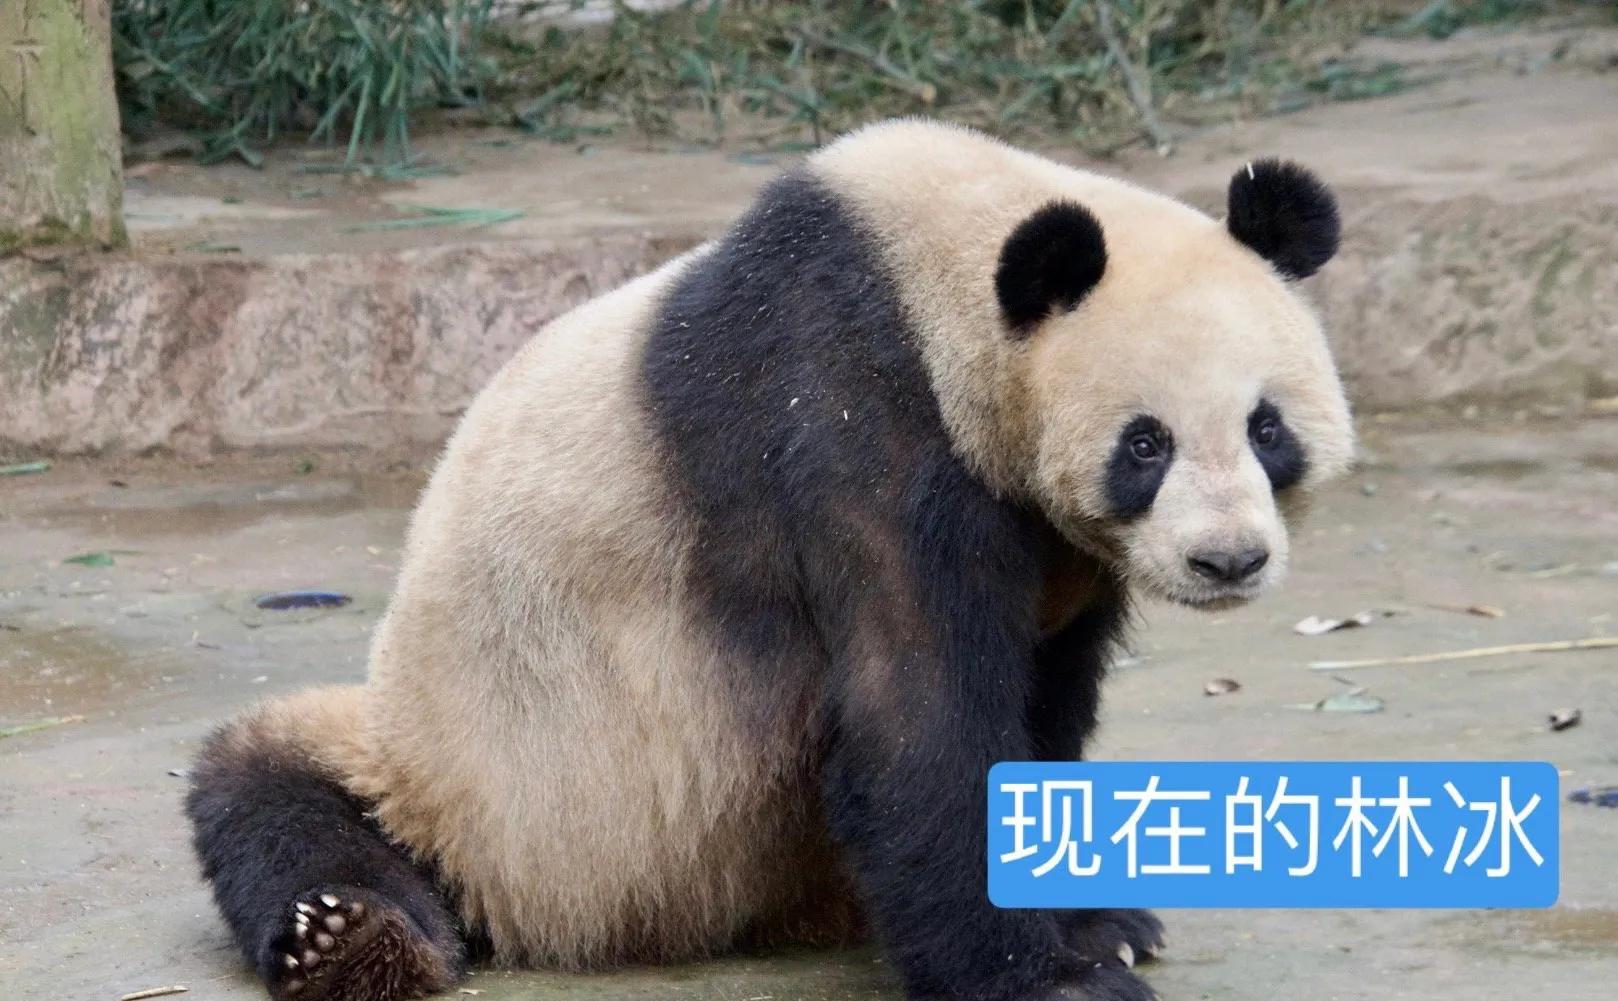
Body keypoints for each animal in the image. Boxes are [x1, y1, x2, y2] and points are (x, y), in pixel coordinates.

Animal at [186, 119, 1353, 1001]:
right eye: (1146, 443)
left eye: (1266, 427)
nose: (1227, 558)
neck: (940, 270)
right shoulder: (843, 415)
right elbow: (912, 705)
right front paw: (1046, 979)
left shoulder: (1053, 543)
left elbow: (1041, 702)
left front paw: (1090, 916)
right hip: (468, 778)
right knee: (268, 795)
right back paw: (353, 938)